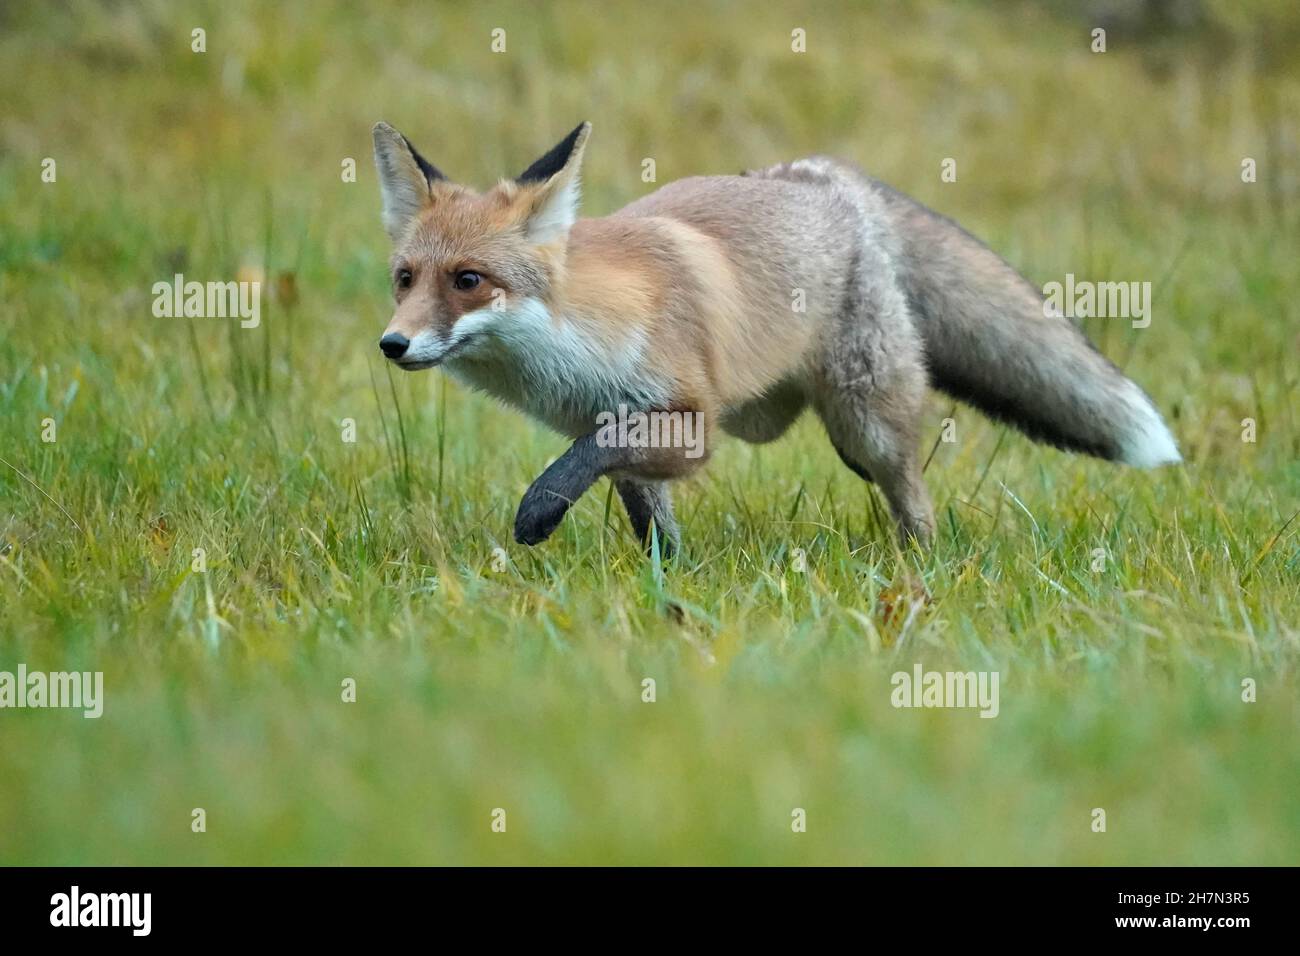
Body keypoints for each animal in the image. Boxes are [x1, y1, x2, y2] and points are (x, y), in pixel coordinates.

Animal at [371, 120, 1180, 558]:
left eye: (469, 280)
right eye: (405, 279)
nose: (392, 345)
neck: (577, 345)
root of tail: (825, 177)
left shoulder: (685, 422)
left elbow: (584, 461)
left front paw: (538, 512)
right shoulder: (616, 427)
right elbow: (647, 519)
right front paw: (667, 591)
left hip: (862, 426)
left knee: (910, 493)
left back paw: (921, 568)